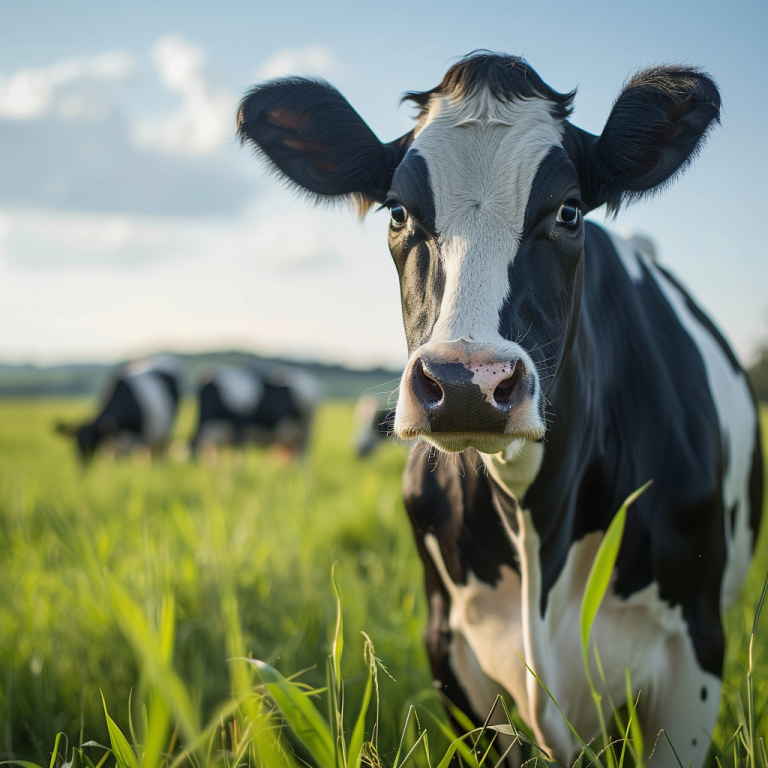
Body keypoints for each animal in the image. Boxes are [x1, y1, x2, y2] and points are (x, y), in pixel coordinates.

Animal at [190, 365, 319, 459]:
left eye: (194, 457)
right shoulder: (217, 441)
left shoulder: (240, 428)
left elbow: (239, 457)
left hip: (305, 431)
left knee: (303, 458)